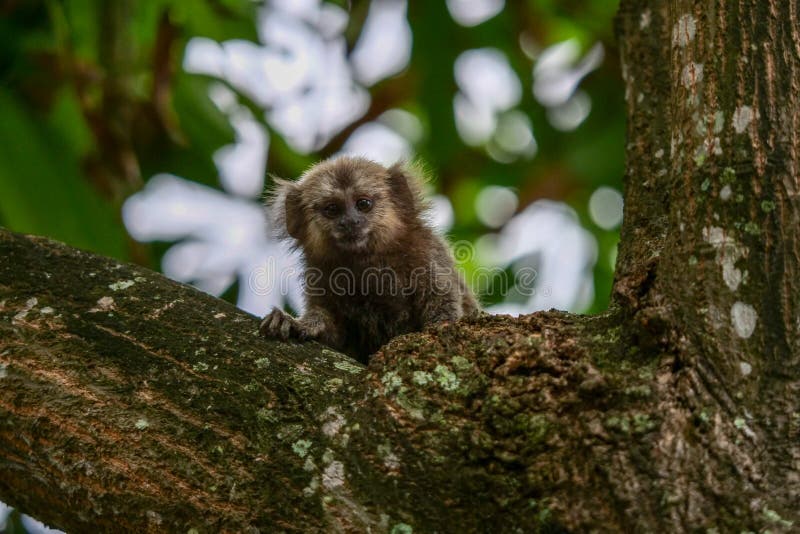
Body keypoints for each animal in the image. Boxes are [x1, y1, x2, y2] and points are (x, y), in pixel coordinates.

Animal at [259, 156, 479, 363]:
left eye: (363, 204)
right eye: (332, 209)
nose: (350, 222)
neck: (369, 262)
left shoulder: (427, 253)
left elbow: (443, 304)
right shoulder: (318, 275)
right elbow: (336, 338)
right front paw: (299, 323)